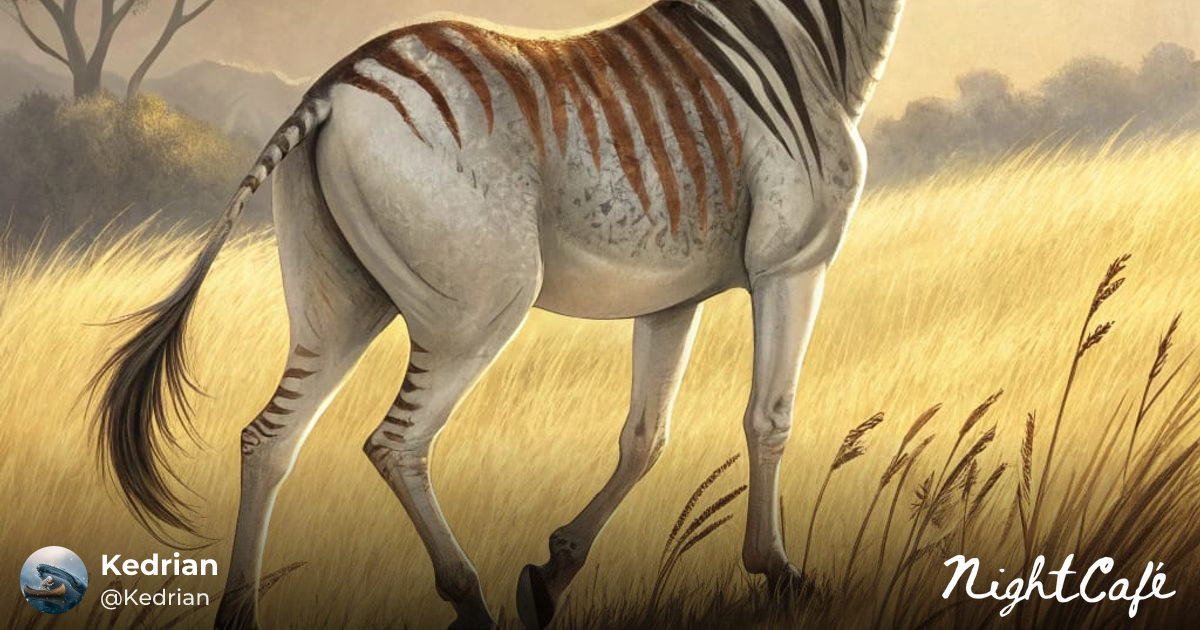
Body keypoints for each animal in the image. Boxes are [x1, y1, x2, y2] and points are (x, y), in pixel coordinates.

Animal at [93, 0, 905, 628]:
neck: (806, 37)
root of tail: (333, 87)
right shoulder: (790, 263)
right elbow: (769, 420)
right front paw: (781, 574)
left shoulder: (670, 297)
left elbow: (644, 438)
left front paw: (552, 573)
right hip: (479, 307)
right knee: (395, 443)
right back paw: (469, 598)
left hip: (339, 304)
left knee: (268, 439)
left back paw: (242, 612)